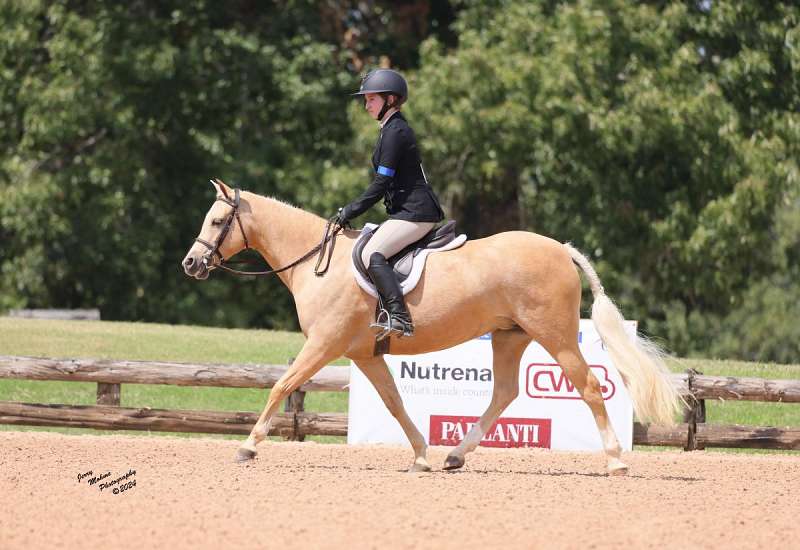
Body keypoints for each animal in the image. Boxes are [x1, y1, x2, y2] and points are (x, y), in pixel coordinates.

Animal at [182, 179, 680, 475]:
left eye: (218, 220)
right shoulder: (364, 354)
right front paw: (422, 455)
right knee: (504, 393)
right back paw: (455, 455)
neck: (318, 263)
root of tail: (560, 248)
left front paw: (249, 447)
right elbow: (395, 403)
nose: (191, 264)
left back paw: (615, 462)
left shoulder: (324, 345)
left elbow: (281, 386)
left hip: (555, 336)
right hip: (509, 337)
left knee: (590, 387)